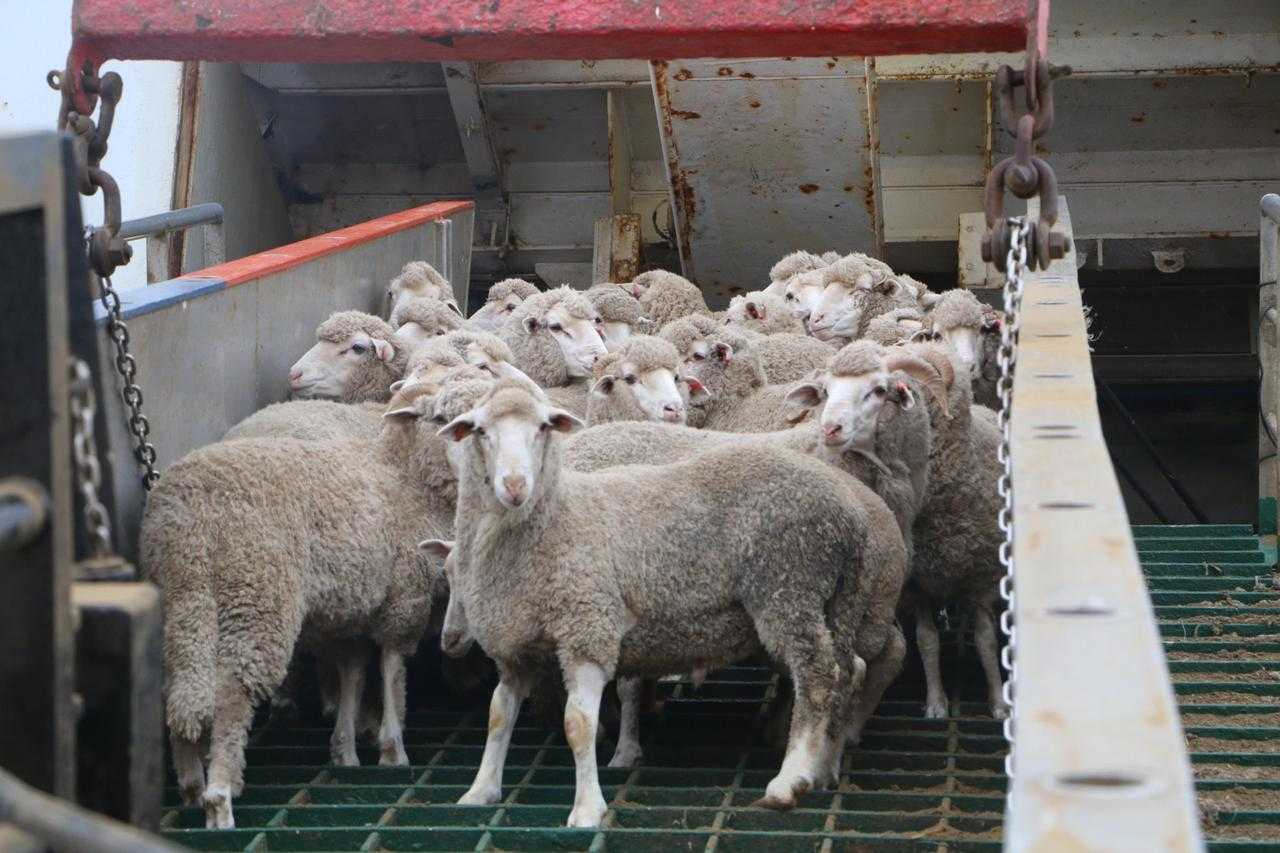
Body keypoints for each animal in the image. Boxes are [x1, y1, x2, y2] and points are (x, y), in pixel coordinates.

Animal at [140, 390, 459, 829]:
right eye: (444, 418)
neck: (405, 477)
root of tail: (186, 524)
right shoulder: (404, 599)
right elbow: (392, 670)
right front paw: (392, 748)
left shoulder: (350, 616)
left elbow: (354, 673)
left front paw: (346, 748)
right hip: (256, 596)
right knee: (230, 692)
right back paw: (220, 797)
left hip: (184, 601)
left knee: (180, 690)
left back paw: (190, 783)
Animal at [436, 379, 908, 826]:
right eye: (480, 431)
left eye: (543, 428)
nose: (515, 485)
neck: (556, 517)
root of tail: (852, 511)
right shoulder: (515, 650)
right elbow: (499, 715)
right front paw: (480, 791)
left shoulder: (588, 628)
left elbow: (578, 725)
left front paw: (587, 808)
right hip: (838, 600)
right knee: (848, 669)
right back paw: (824, 765)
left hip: (789, 587)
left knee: (819, 674)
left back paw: (790, 779)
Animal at [812, 340, 1005, 720]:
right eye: (826, 390)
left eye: (880, 390)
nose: (829, 429)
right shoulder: (917, 585)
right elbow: (927, 642)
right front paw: (936, 702)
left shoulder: (982, 575)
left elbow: (987, 641)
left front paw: (998, 702)